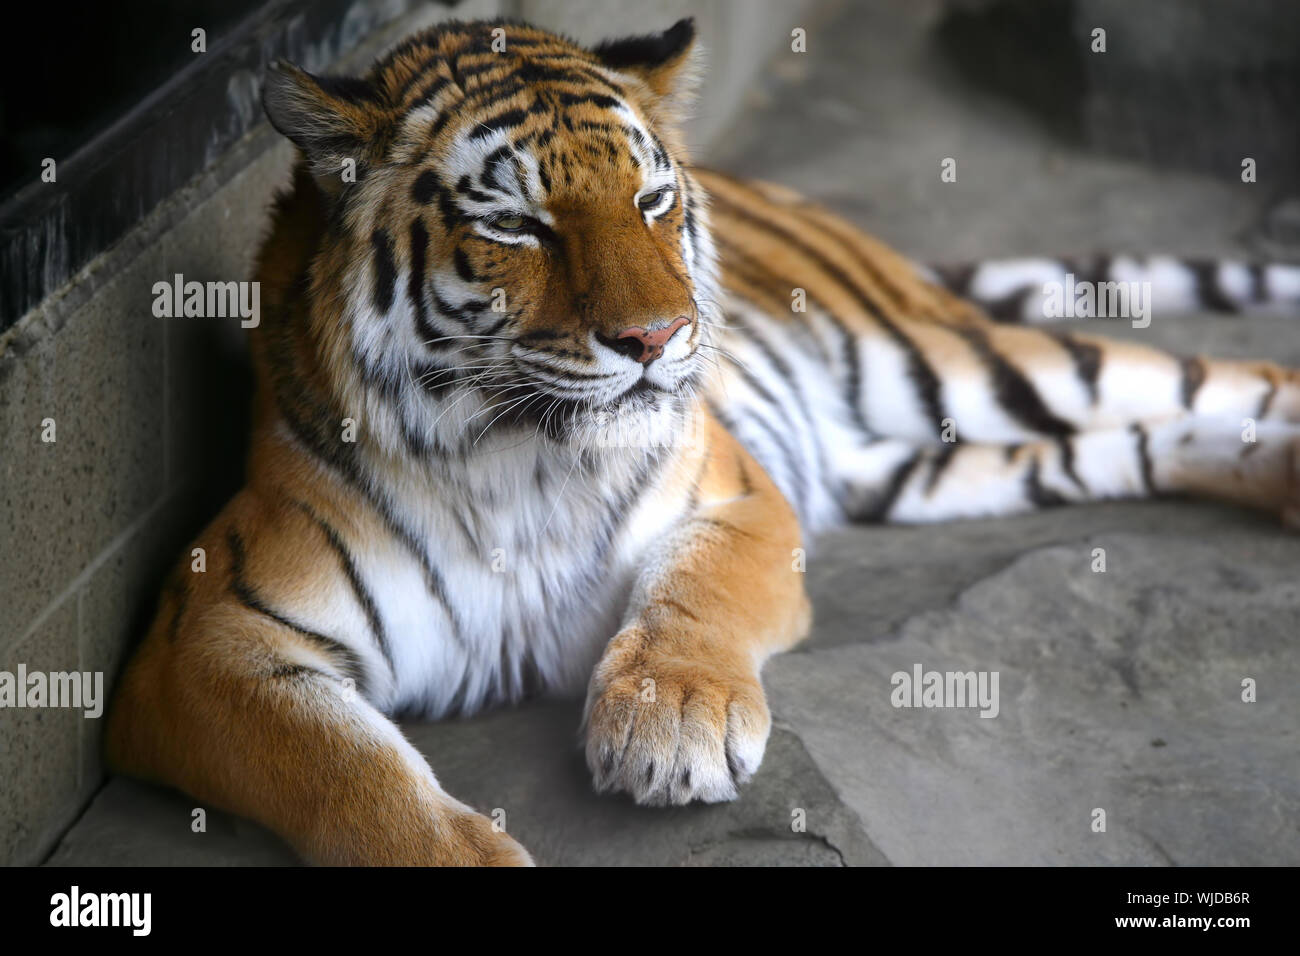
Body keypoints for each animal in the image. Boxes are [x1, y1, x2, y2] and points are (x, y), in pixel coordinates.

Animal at [105, 16, 1300, 866]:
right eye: (516, 226)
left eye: (649, 199)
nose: (659, 338)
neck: (516, 458)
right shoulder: (206, 641)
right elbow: (346, 768)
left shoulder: (739, 497)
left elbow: (696, 593)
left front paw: (671, 722)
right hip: (925, 462)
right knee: (1148, 436)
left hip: (959, 364)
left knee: (1228, 378)